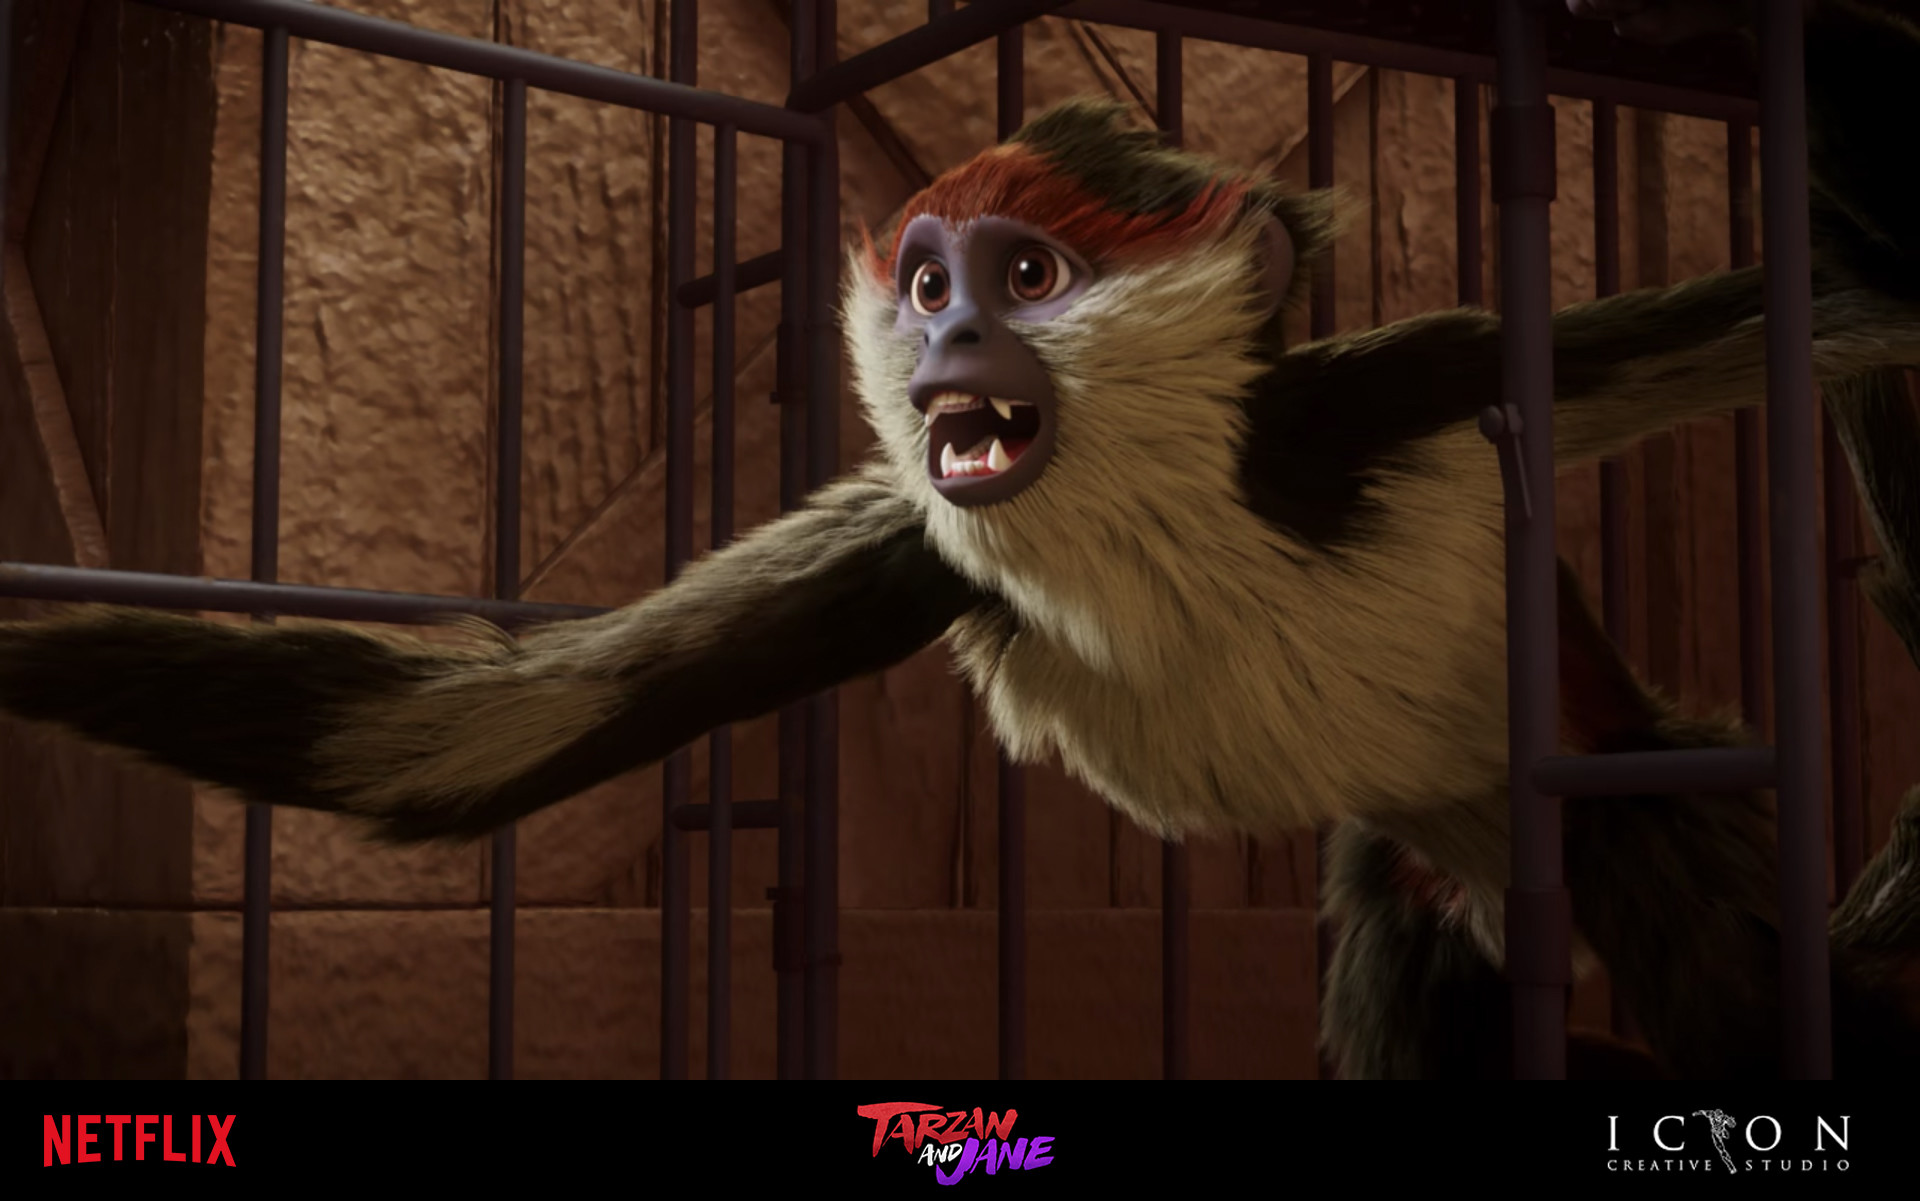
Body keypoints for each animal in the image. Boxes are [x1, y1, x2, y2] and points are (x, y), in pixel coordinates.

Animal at [2, 1, 1920, 1076]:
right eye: (925, 284)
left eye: (1026, 274)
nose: (946, 348)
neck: (1163, 513)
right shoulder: (909, 544)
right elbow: (462, 737)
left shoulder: (1390, 391)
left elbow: (1851, 310)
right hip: (1423, 878)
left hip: (1617, 791)